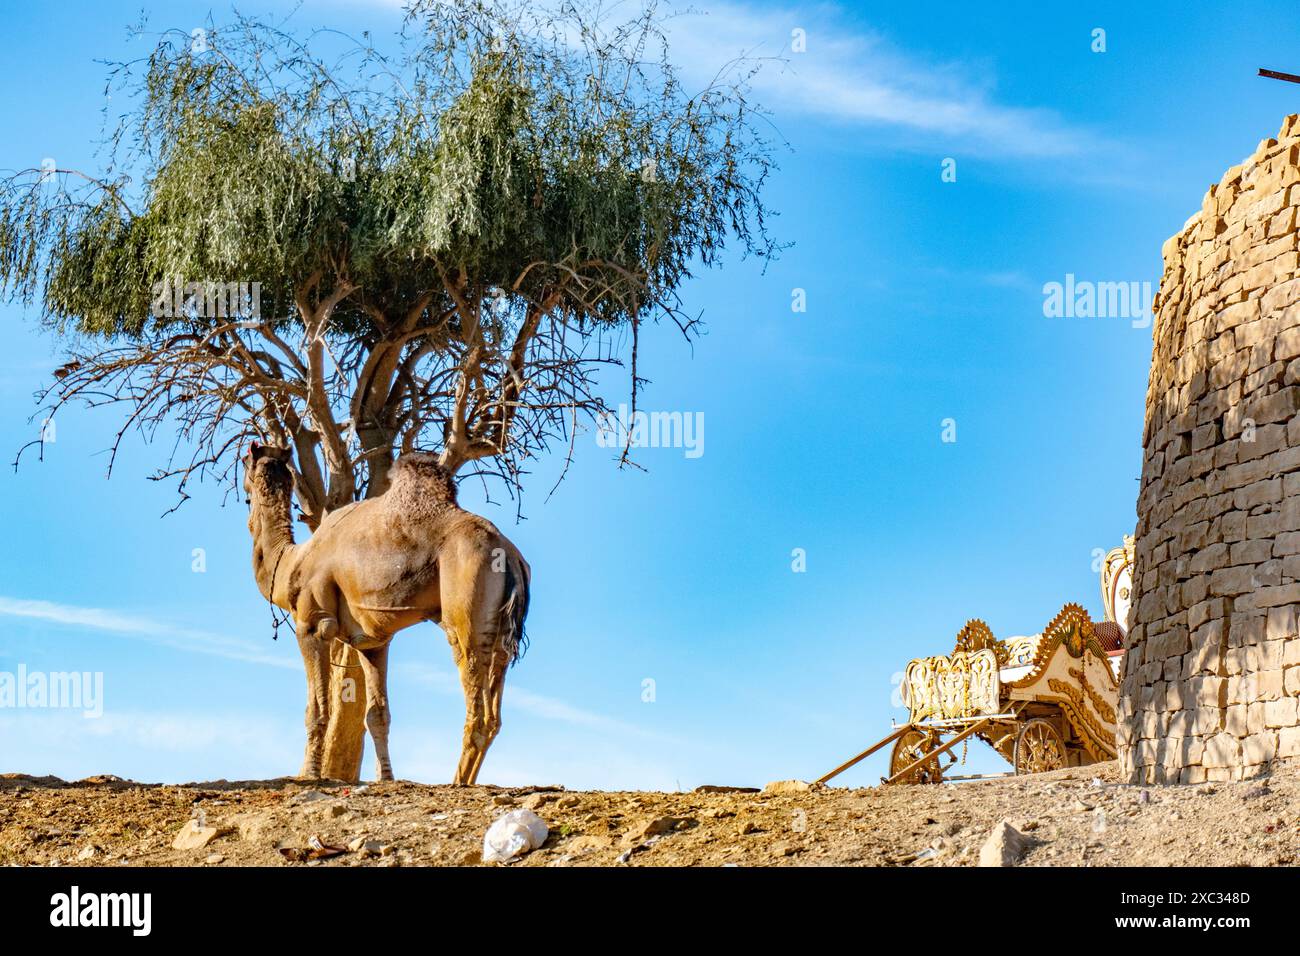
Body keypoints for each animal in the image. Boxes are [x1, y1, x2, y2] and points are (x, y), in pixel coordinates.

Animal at [241, 442, 530, 785]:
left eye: (243, 464)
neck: (291, 563)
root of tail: (509, 555)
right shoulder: (373, 642)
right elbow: (377, 715)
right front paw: (387, 777)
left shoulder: (313, 623)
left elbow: (317, 708)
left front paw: (309, 774)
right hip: (499, 634)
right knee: (495, 707)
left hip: (466, 613)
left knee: (477, 705)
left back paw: (457, 782)